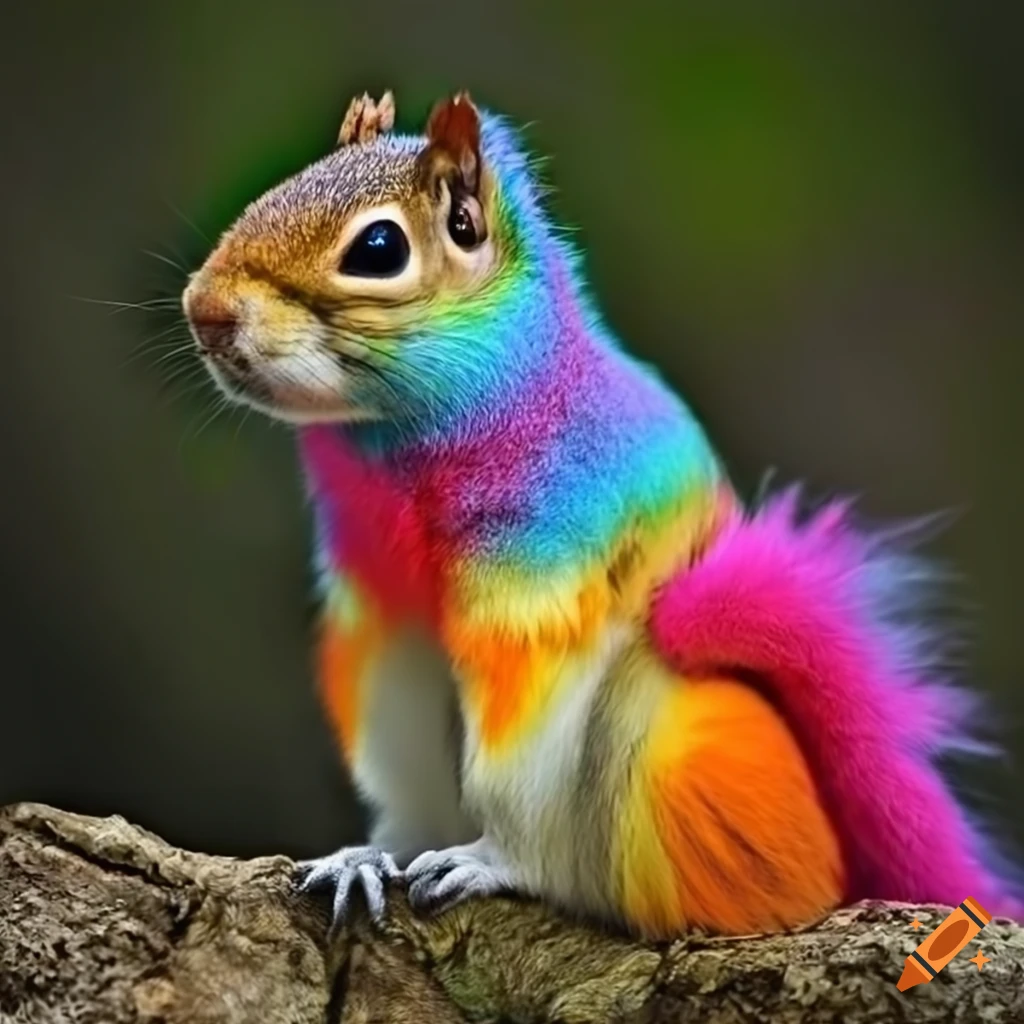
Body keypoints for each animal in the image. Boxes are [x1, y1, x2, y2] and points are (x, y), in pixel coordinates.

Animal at [182, 89, 1022, 938]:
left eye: (378, 248)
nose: (204, 309)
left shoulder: (535, 590)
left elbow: (519, 754)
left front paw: (493, 860)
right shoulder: (385, 626)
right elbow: (406, 767)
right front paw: (369, 855)